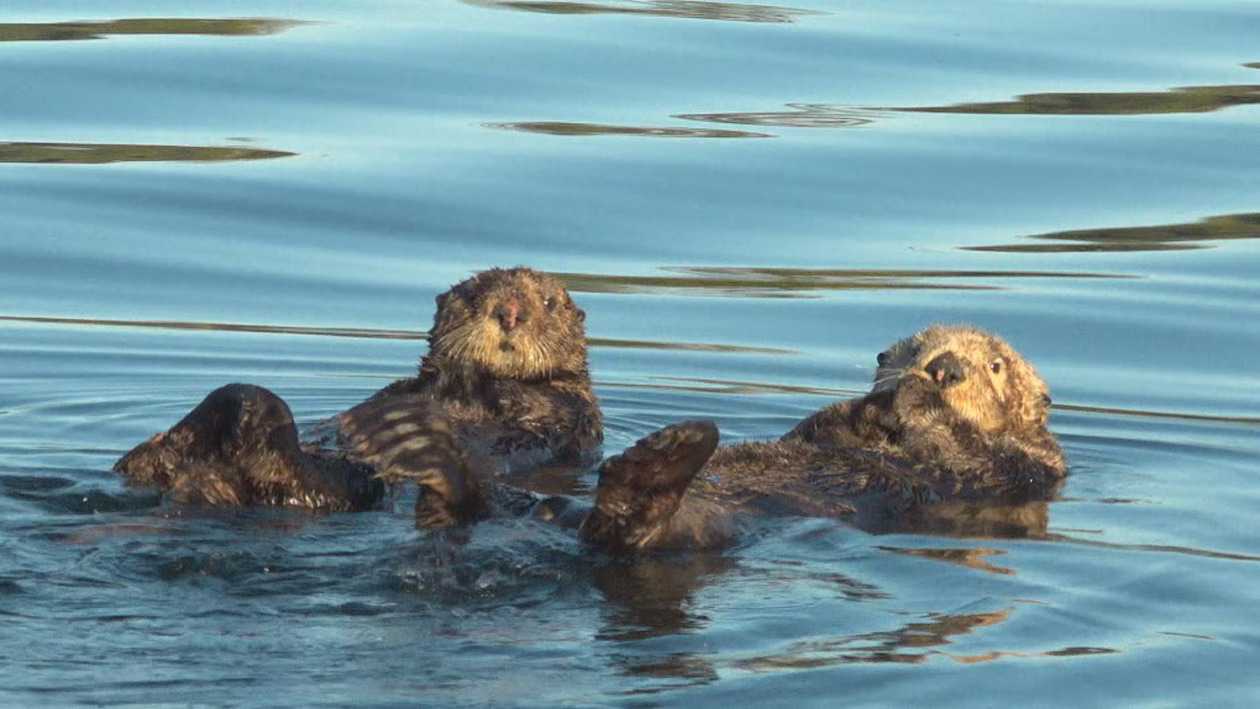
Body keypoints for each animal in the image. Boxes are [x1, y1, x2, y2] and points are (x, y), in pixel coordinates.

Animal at [114, 267, 603, 518]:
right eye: (472, 297)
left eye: (548, 302)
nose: (510, 313)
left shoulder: (570, 410)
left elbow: (532, 403)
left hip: (343, 484)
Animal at [576, 325, 1066, 551]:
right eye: (917, 348)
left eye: (996, 366)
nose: (944, 367)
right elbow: (823, 426)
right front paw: (874, 404)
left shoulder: (1023, 467)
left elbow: (968, 449)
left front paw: (915, 396)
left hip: (706, 528)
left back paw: (664, 458)